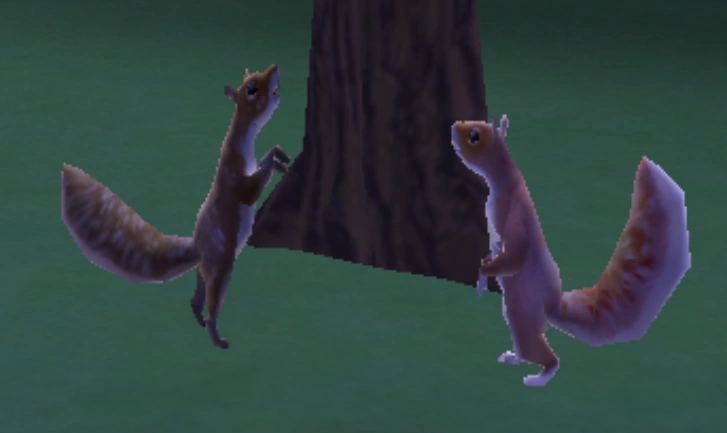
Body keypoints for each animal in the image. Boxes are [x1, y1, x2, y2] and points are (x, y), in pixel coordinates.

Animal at [61, 64, 290, 349]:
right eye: (251, 88)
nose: (276, 68)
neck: (244, 144)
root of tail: (198, 247)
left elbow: (265, 161)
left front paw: (282, 161)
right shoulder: (236, 182)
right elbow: (254, 184)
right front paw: (278, 159)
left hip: (207, 269)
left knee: (196, 295)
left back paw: (198, 317)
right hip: (221, 265)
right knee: (213, 303)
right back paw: (217, 337)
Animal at [451, 115, 691, 387]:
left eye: (475, 136)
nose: (453, 127)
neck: (503, 181)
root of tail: (553, 303)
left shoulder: (515, 215)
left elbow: (515, 254)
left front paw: (485, 270)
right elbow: (493, 247)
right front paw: (482, 276)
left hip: (523, 308)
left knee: (542, 351)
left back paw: (540, 377)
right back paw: (514, 358)